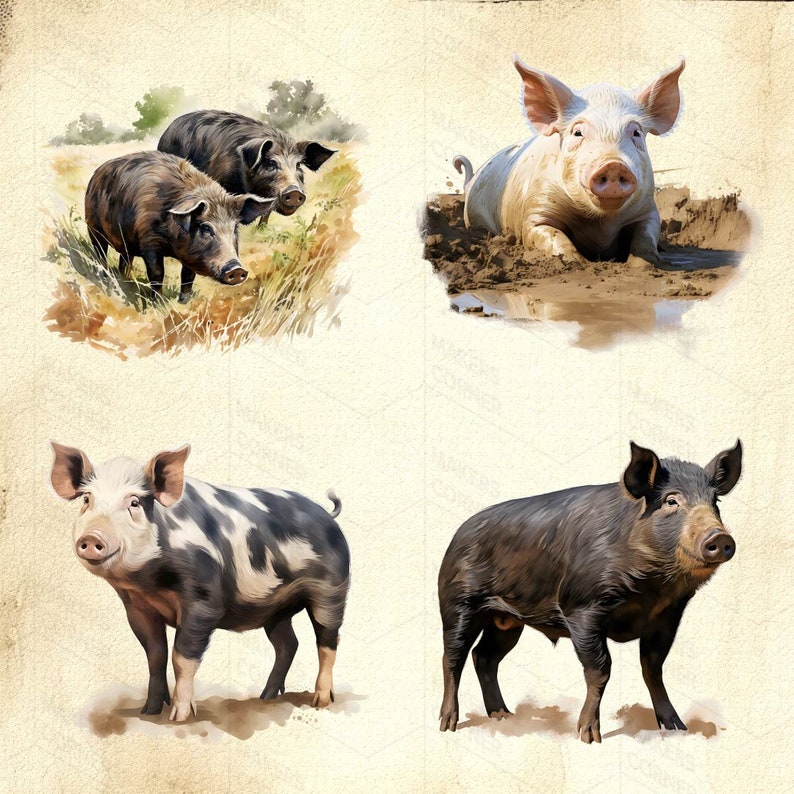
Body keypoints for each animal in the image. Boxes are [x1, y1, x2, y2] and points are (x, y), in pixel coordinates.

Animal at [50, 442, 350, 721]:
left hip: (332, 590)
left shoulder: (204, 600)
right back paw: (266, 698)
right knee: (289, 644)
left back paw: (321, 701)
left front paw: (179, 717)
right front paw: (149, 712)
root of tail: (328, 516)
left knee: (328, 641)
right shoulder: (137, 608)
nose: (92, 537)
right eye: (86, 500)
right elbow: (155, 655)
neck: (150, 582)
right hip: (276, 610)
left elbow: (181, 657)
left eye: (134, 503)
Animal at [84, 151, 275, 303]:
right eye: (205, 228)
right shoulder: (149, 242)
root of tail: (97, 172)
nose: (236, 269)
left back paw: (124, 279)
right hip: (93, 227)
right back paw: (104, 275)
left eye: (235, 228)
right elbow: (157, 273)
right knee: (100, 251)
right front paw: (158, 304)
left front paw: (185, 301)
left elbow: (188, 276)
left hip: (125, 241)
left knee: (125, 258)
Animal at [438, 440, 742, 743]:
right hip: (457, 605)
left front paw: (676, 727)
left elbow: (653, 669)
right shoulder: (582, 609)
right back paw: (448, 724)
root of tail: (457, 535)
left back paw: (502, 715)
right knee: (453, 657)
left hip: (506, 622)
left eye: (715, 502)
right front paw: (589, 736)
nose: (720, 537)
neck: (652, 589)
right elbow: (600, 669)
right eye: (671, 501)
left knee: (484, 657)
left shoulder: (668, 617)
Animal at [453, 56, 685, 268]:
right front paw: (577, 263)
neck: (602, 222)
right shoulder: (536, 209)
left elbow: (645, 235)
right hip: (474, 217)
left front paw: (644, 264)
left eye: (636, 132)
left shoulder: (647, 208)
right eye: (578, 132)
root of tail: (471, 180)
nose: (613, 164)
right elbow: (552, 234)